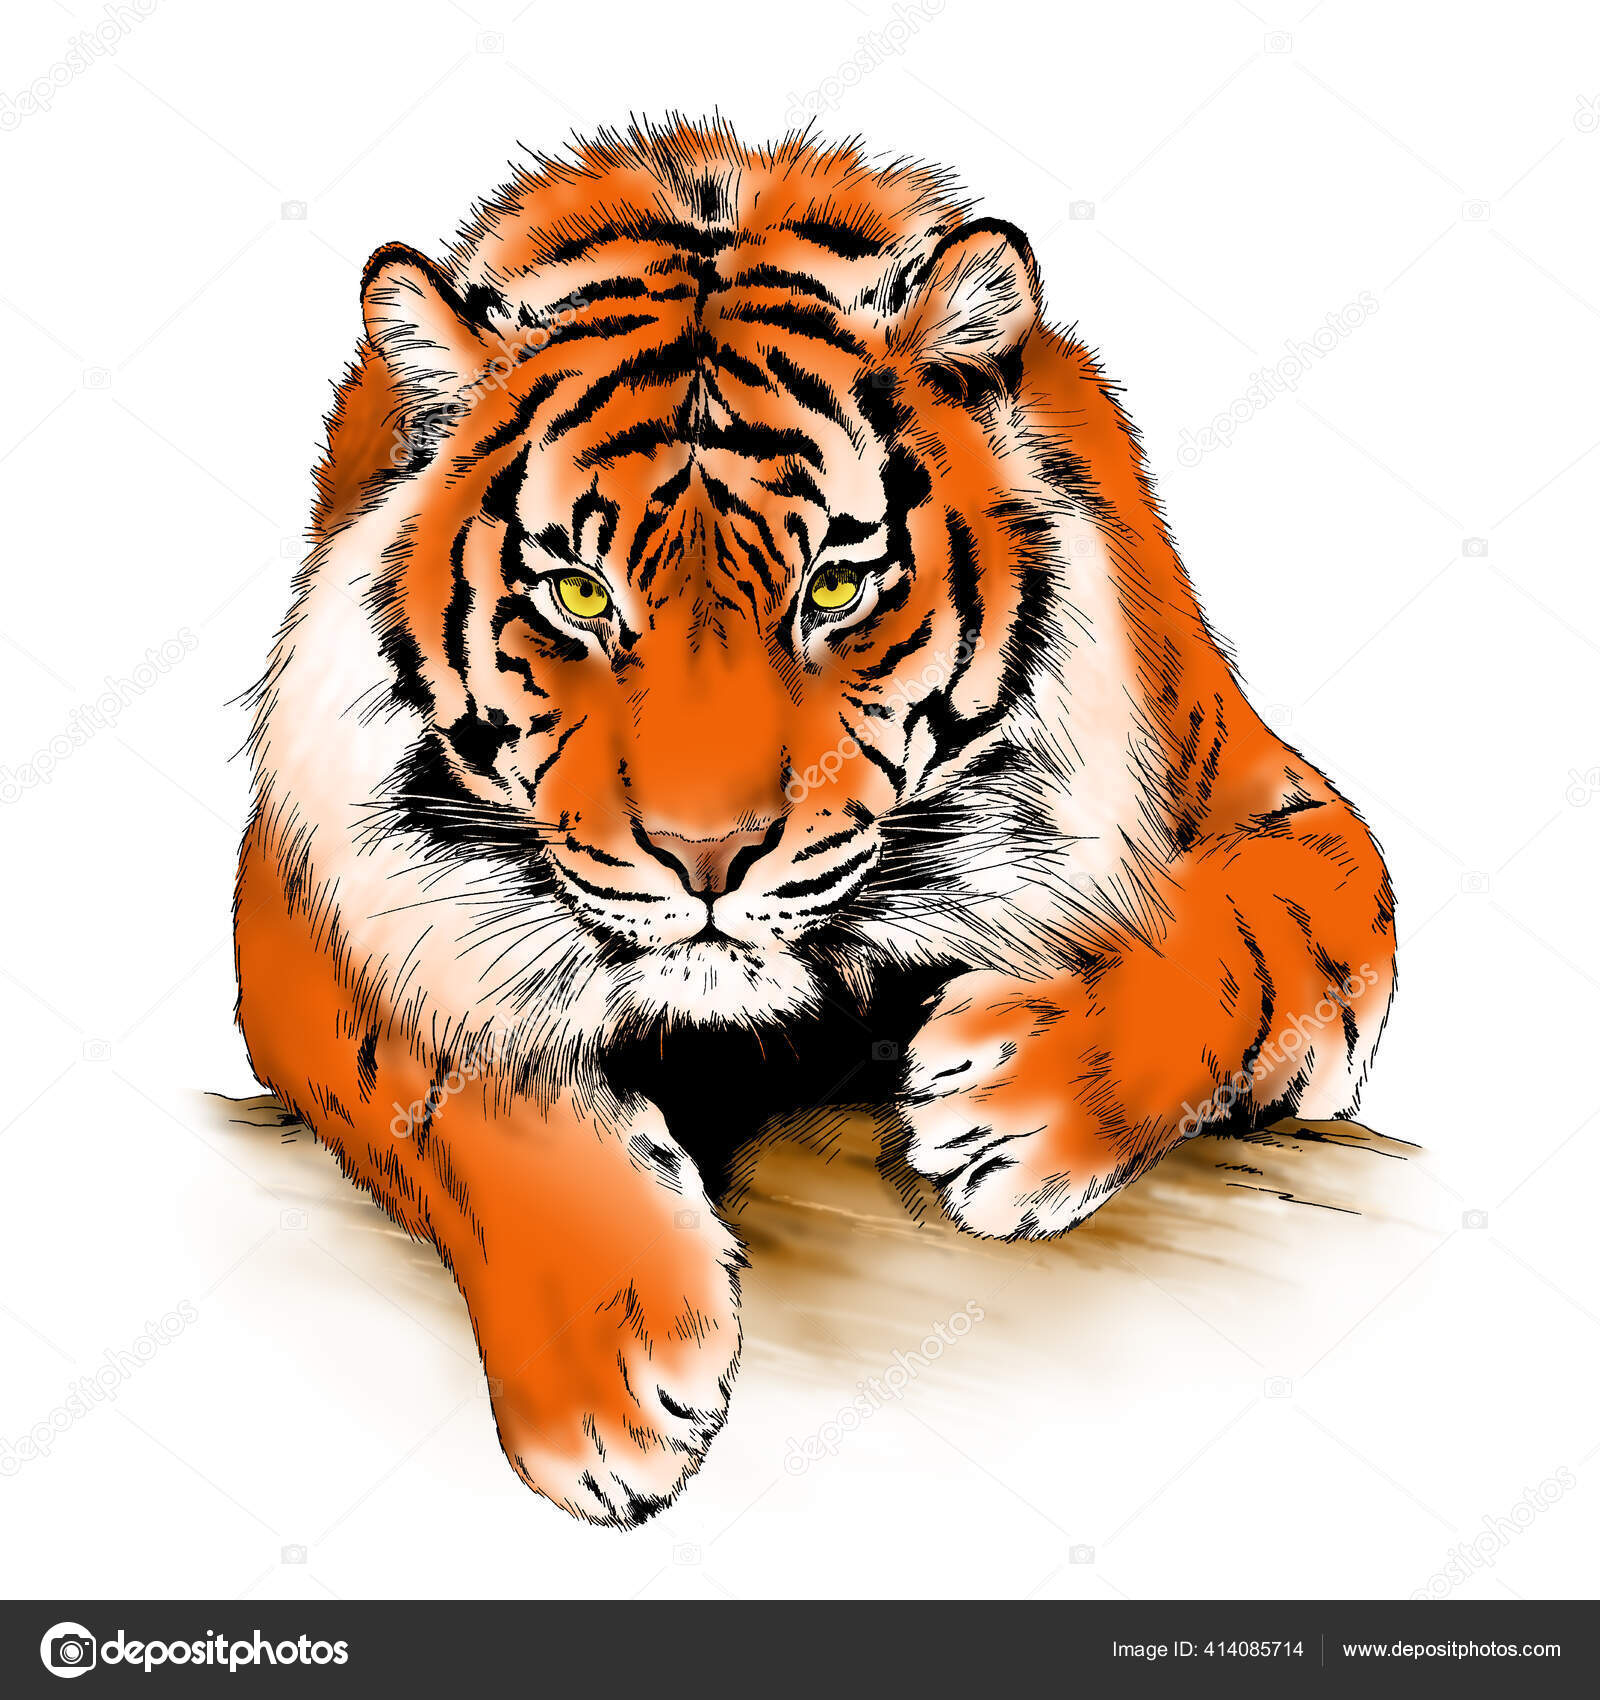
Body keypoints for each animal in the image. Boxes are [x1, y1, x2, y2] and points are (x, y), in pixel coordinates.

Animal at [234, 118, 1396, 1527]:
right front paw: (603, 1389)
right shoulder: (310, 906)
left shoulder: (1284, 805)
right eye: (579, 594)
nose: (706, 854)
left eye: (835, 588)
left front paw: (1026, 1091)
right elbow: (453, 1084)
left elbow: (1245, 924)